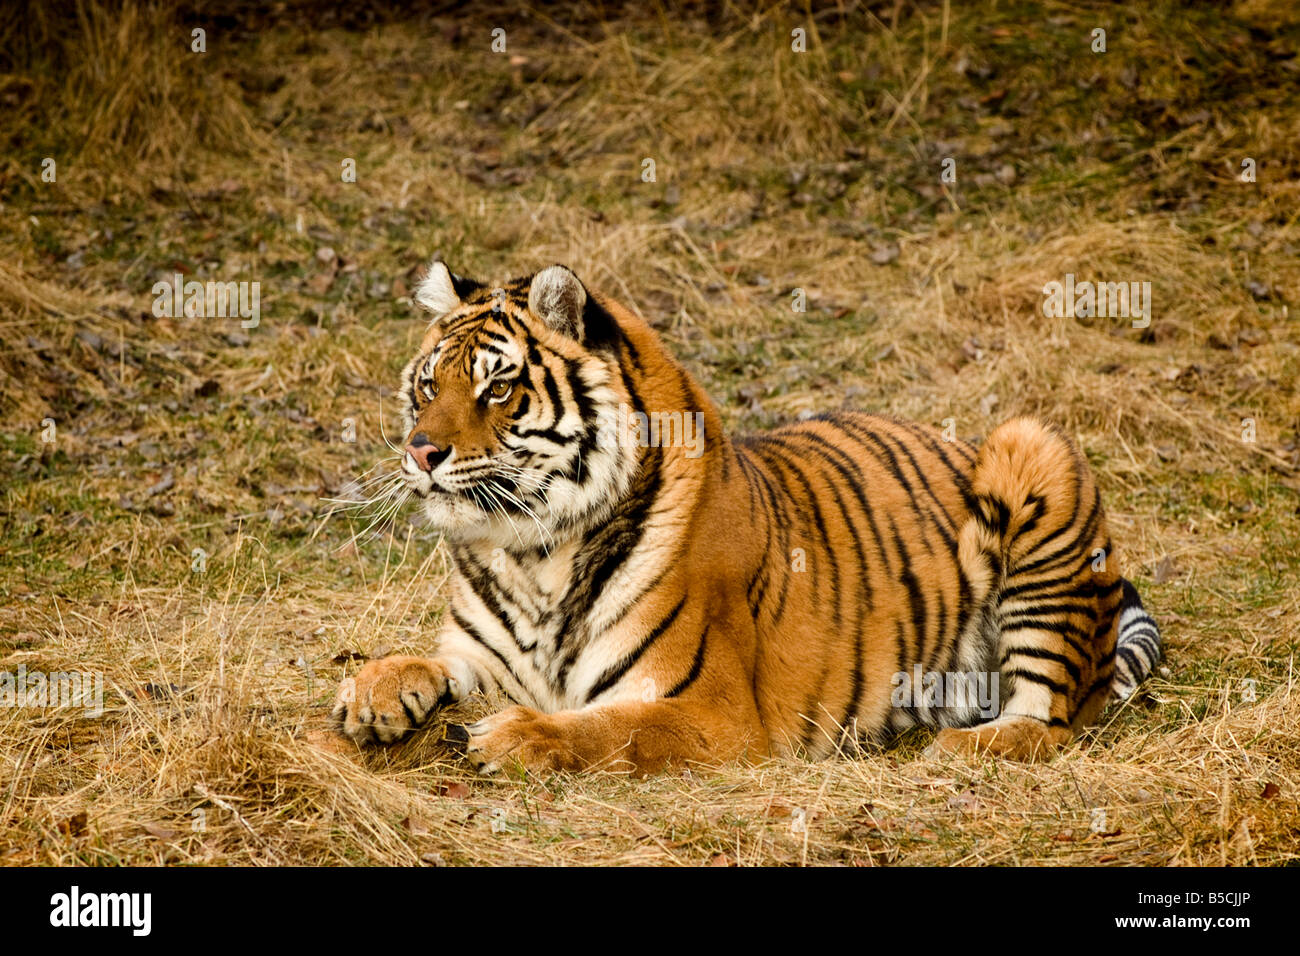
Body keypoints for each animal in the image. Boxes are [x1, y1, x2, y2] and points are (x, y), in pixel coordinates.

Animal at [332, 261, 1162, 773]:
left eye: (497, 388)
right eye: (428, 384)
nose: (420, 451)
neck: (532, 553)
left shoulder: (713, 708)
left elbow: (611, 729)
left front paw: (512, 736)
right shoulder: (483, 654)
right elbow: (420, 660)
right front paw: (371, 694)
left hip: (1031, 448)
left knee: (1051, 718)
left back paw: (962, 749)